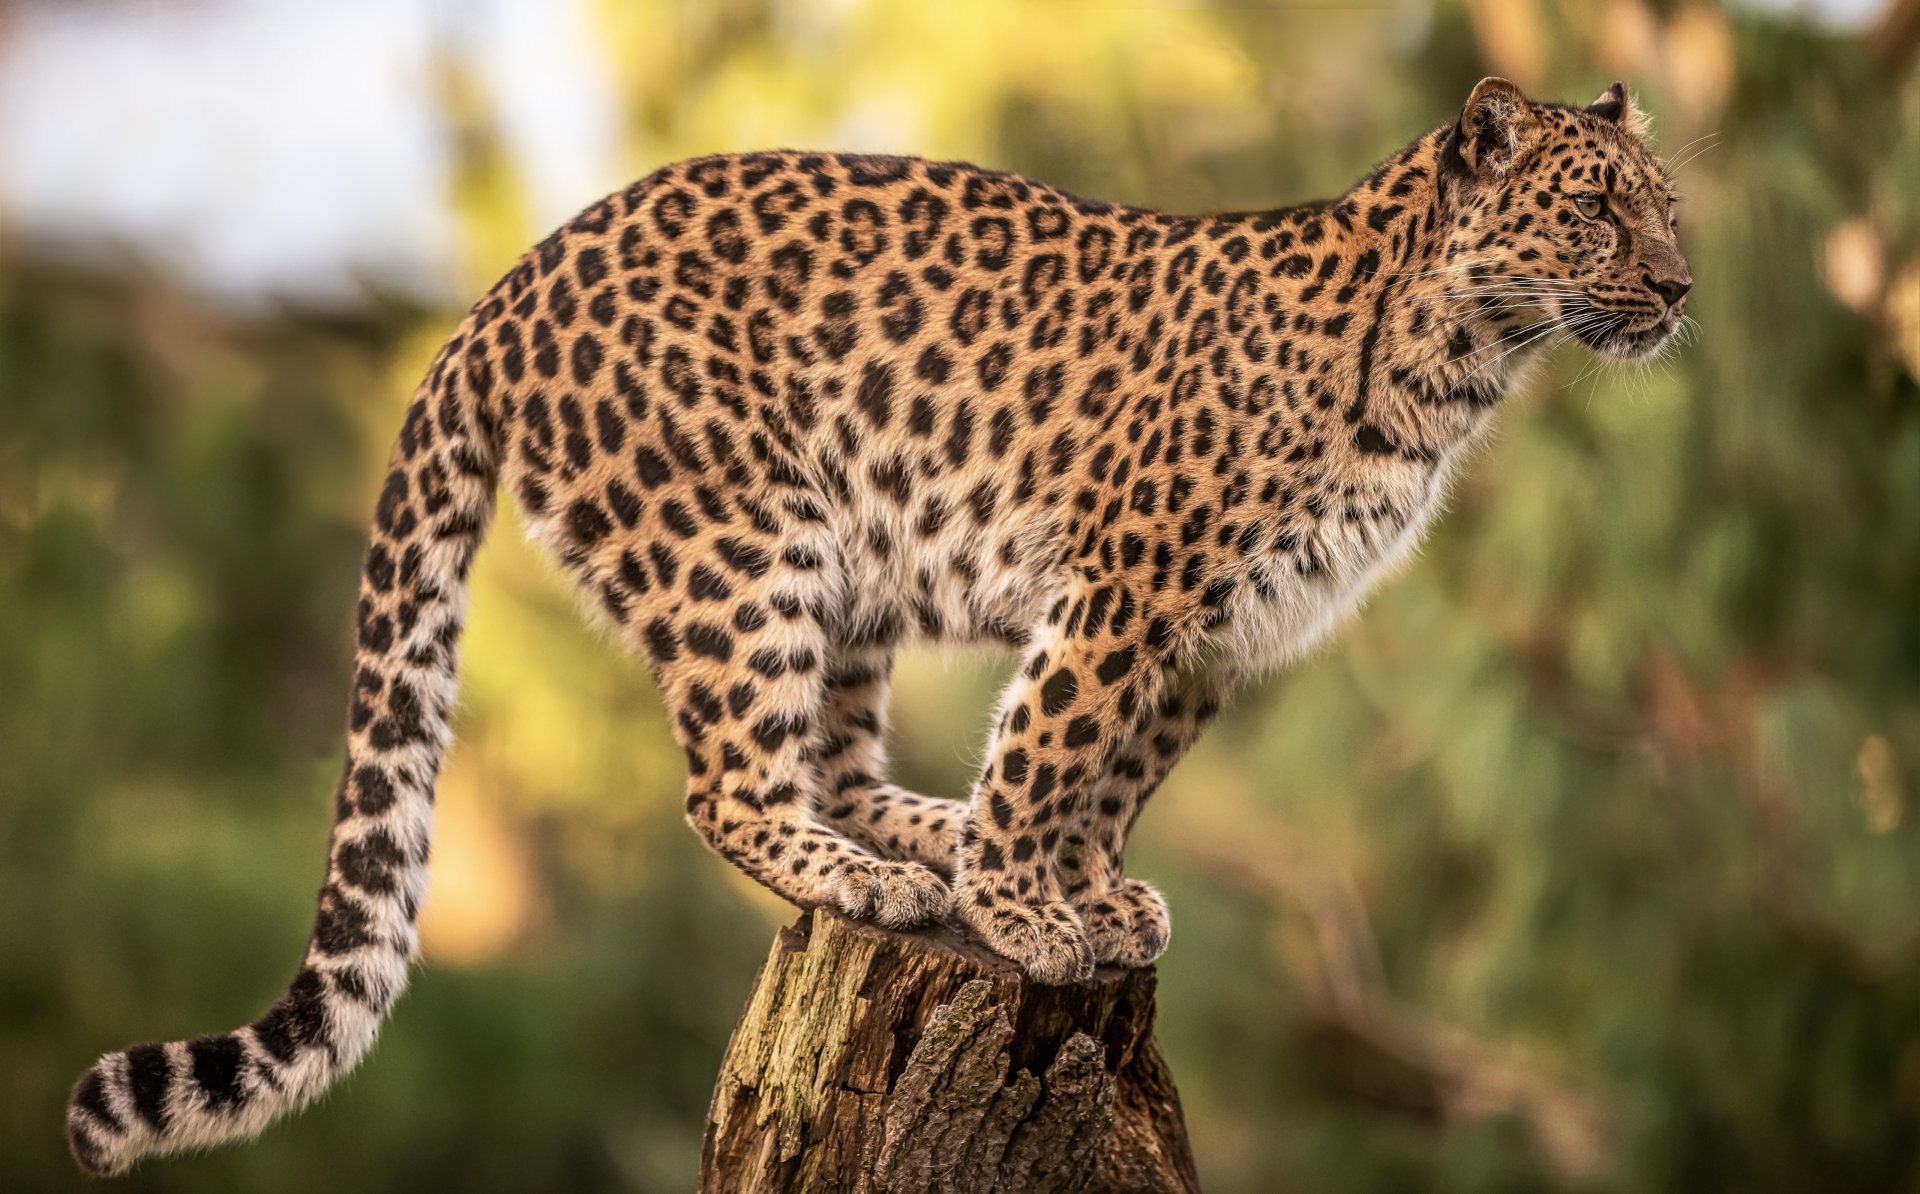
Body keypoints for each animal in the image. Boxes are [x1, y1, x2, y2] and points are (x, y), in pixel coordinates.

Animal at [67, 77, 1689, 1176]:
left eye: (1670, 206)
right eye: (1595, 207)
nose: (1681, 286)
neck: (1451, 369)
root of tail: (510, 286)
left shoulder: (1213, 636)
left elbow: (1110, 775)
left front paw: (1090, 893)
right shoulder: (1129, 584)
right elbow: (1052, 744)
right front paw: (1029, 909)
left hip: (848, 571)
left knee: (836, 764)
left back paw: (916, 840)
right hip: (743, 541)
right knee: (730, 782)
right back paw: (888, 878)